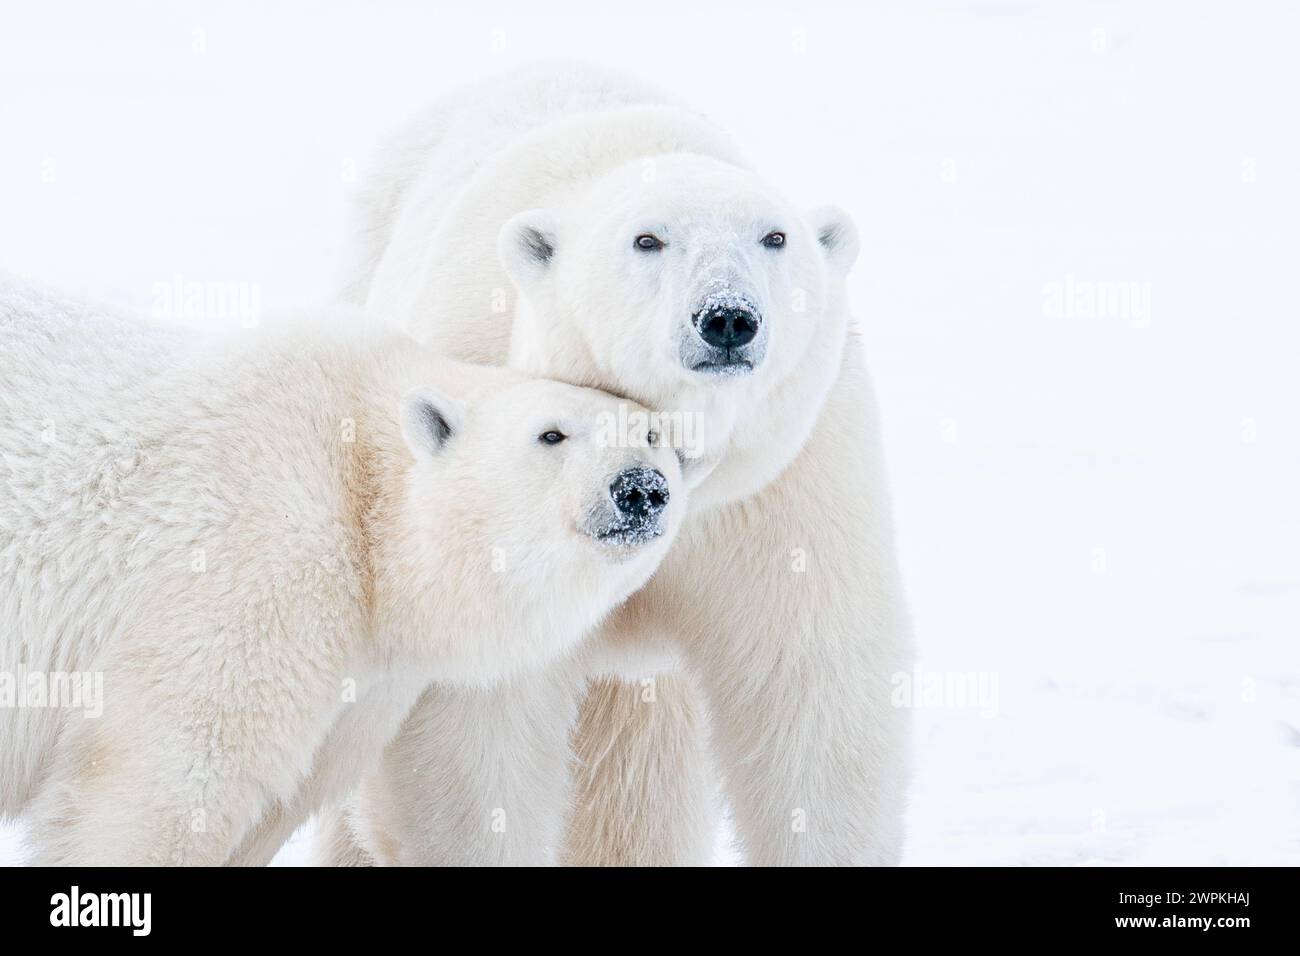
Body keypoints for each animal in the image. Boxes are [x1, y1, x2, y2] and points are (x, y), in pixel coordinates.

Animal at [0, 277, 684, 865]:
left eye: (653, 436)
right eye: (552, 435)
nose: (640, 488)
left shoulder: (364, 684)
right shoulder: (259, 555)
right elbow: (170, 775)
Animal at [320, 60, 914, 866]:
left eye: (776, 236)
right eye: (647, 239)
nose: (727, 317)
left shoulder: (788, 483)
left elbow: (813, 699)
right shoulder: (487, 488)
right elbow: (473, 728)